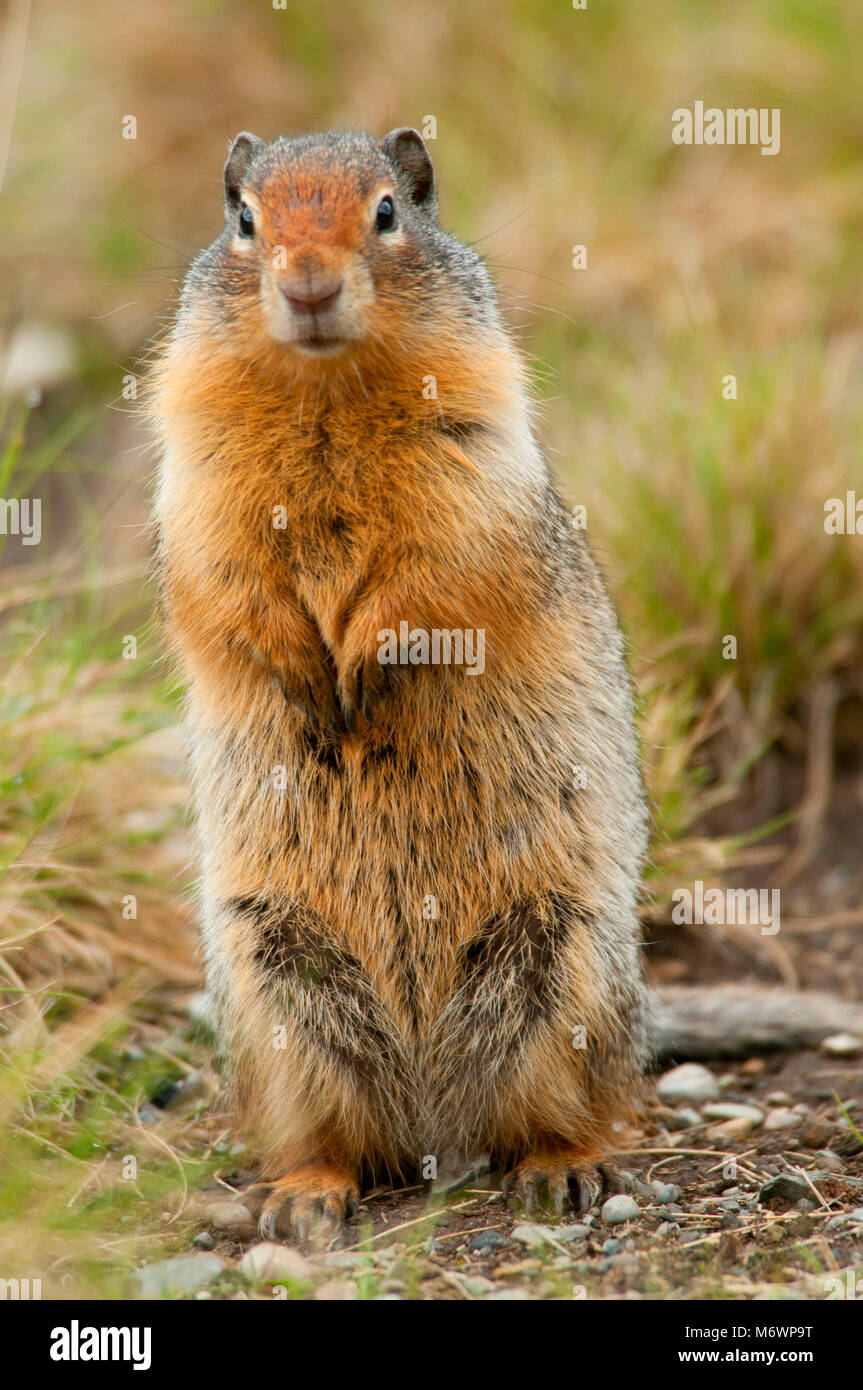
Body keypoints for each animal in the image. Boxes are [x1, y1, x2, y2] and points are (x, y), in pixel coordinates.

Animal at [150, 127, 863, 1243]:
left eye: (387, 212)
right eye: (244, 221)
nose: (307, 284)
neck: (324, 389)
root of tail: (432, 1121)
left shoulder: (472, 464)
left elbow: (434, 572)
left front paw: (365, 670)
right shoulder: (197, 474)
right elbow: (225, 579)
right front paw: (310, 678)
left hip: (560, 962)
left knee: (570, 1108)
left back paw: (558, 1171)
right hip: (275, 988)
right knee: (327, 1133)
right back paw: (306, 1194)